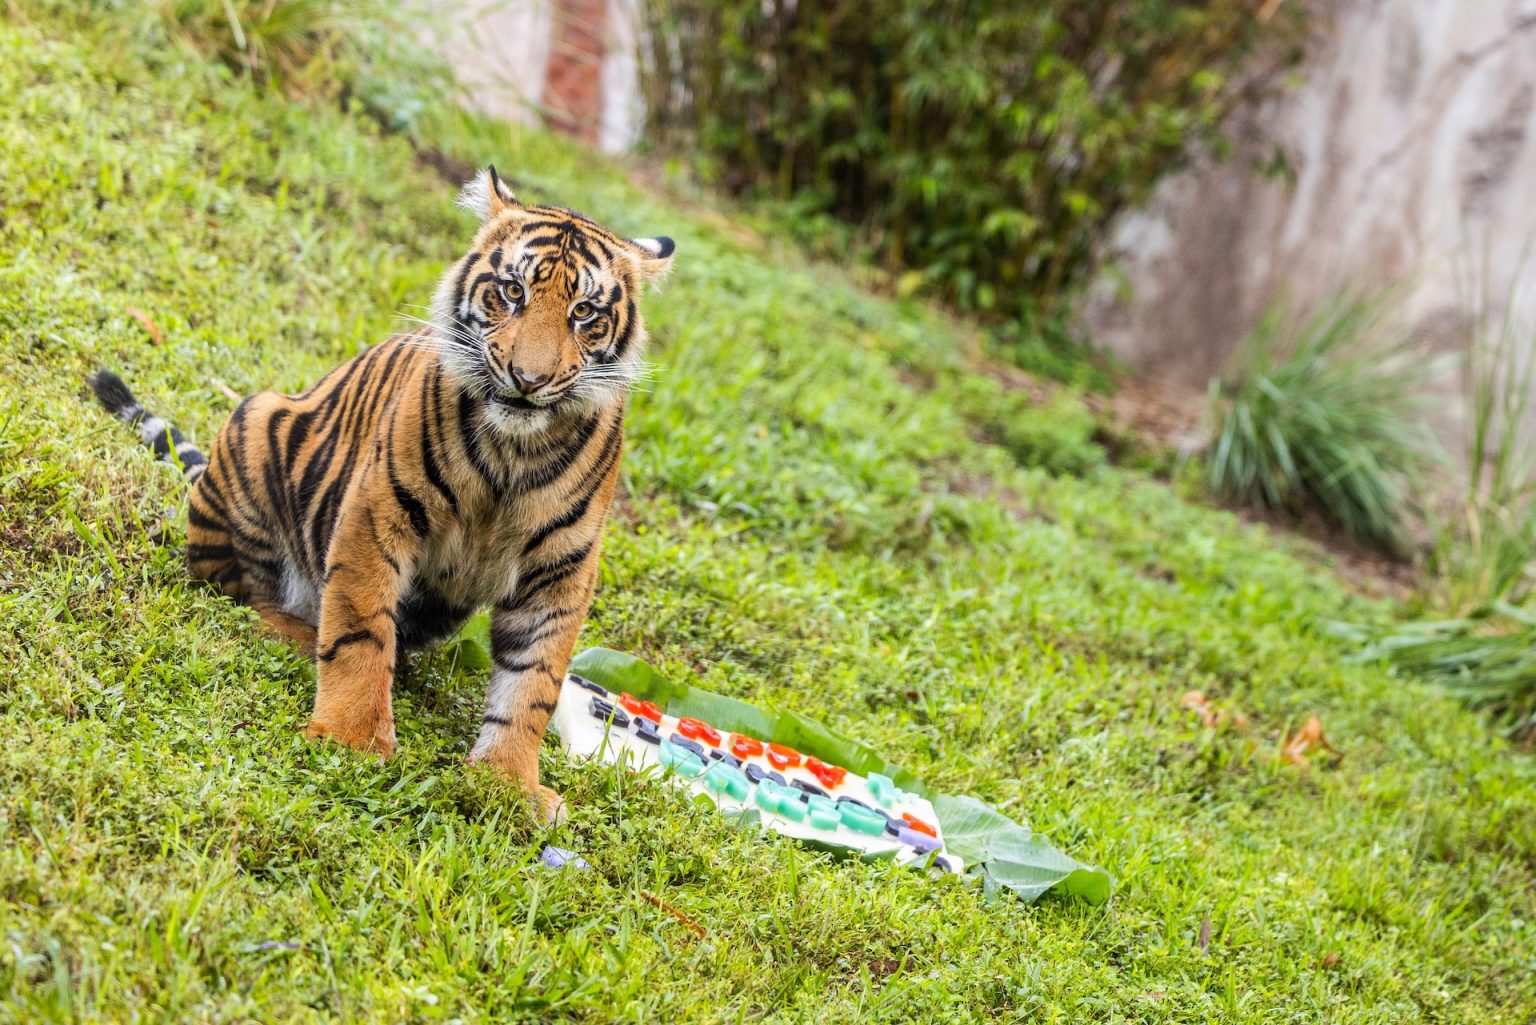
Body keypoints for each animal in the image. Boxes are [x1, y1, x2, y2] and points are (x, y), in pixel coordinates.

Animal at [88, 167, 675, 821]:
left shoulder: (561, 570)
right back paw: (297, 634)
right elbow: (359, 629)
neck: (514, 451)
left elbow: (533, 684)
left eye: (583, 311)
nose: (529, 379)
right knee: (240, 595)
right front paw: (352, 739)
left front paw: (507, 784)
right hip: (254, 426)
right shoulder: (379, 512)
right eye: (512, 291)